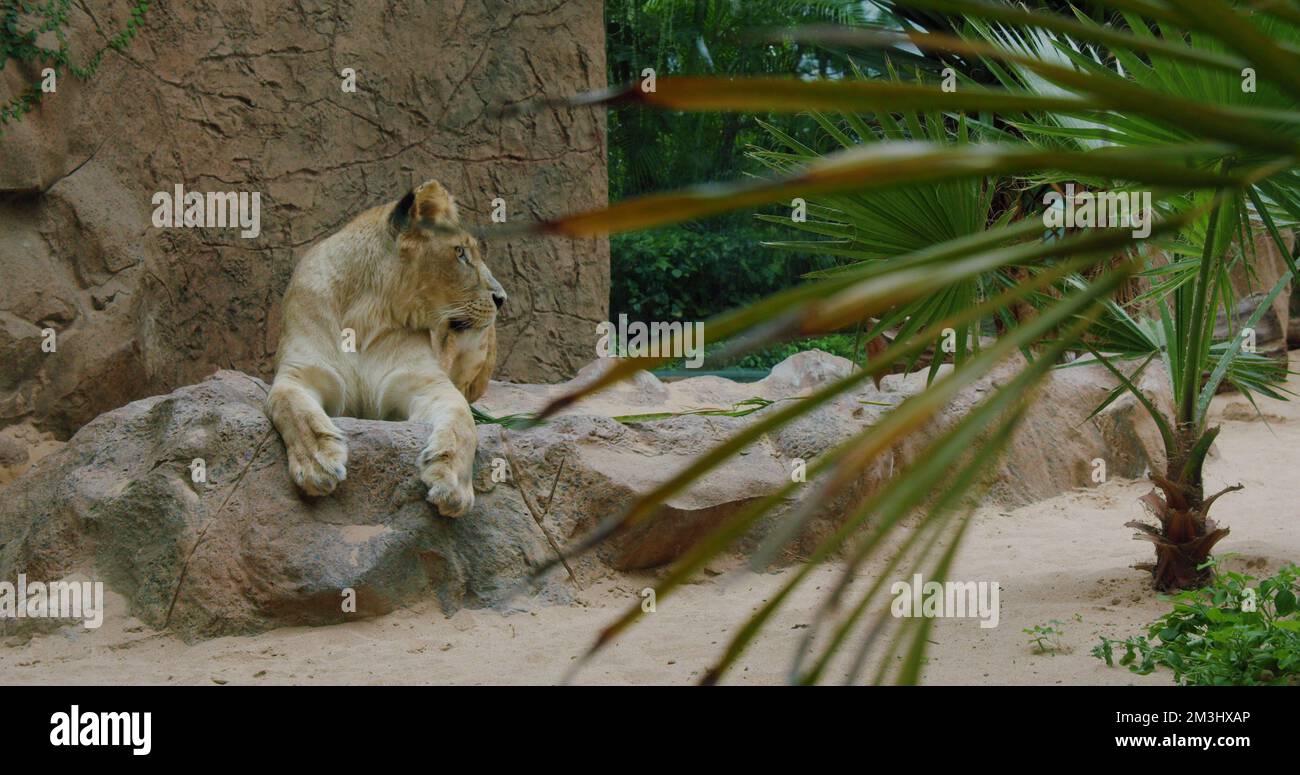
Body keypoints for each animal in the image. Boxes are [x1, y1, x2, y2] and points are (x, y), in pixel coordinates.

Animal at [266, 180, 506, 517]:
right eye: (460, 253)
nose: (502, 298)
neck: (368, 311)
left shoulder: (425, 384)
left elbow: (463, 422)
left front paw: (451, 482)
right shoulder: (301, 373)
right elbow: (294, 408)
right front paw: (318, 461)